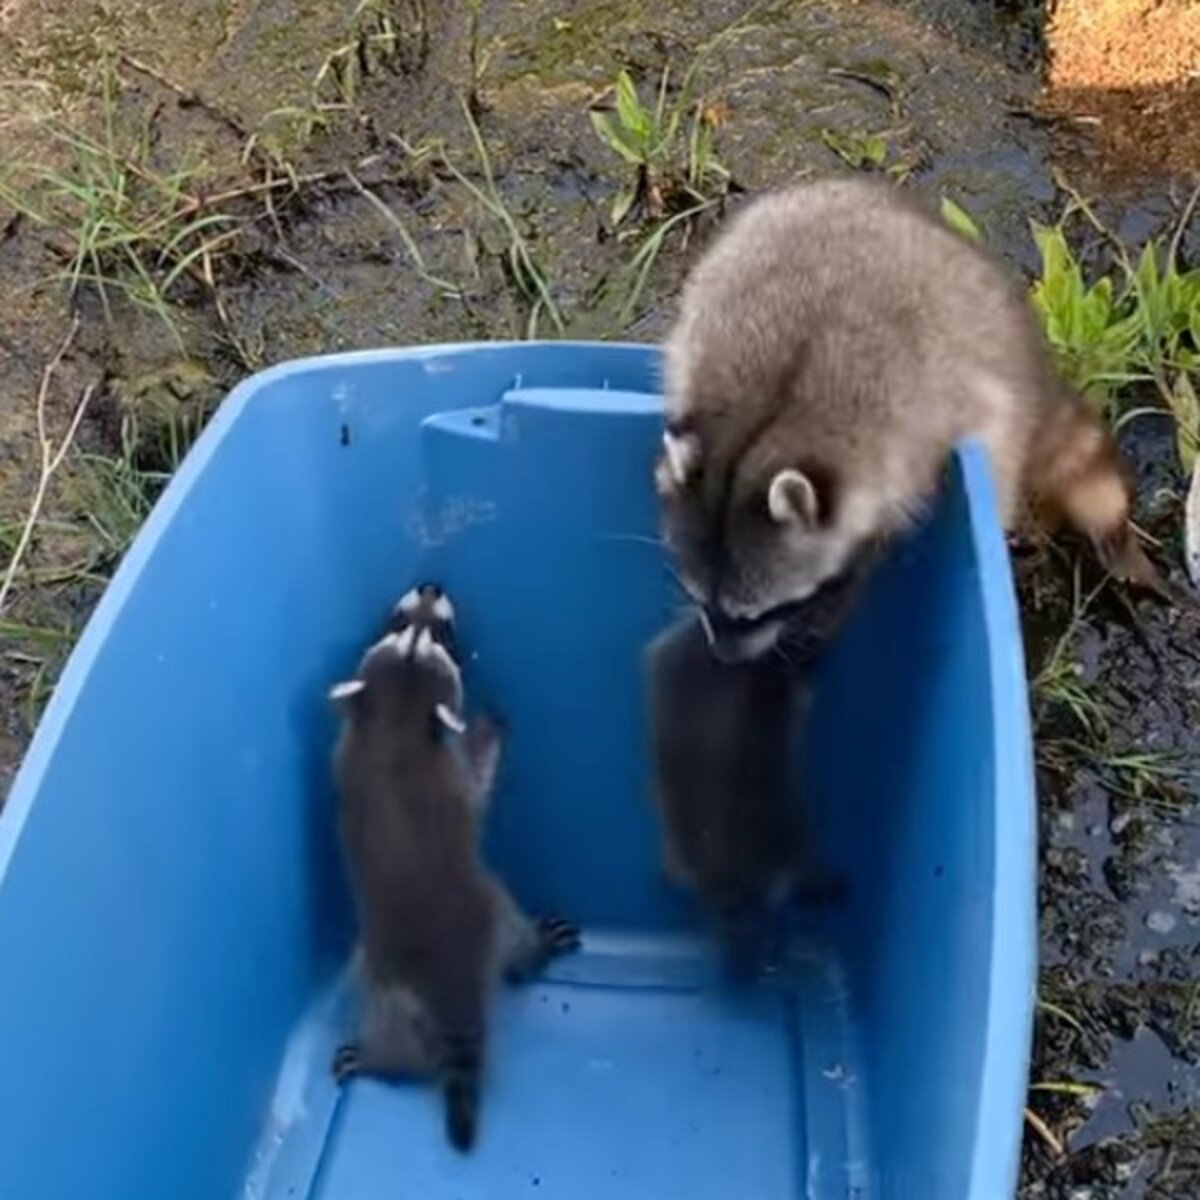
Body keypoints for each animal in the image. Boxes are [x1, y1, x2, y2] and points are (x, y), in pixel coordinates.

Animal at [329, 598, 579, 1152]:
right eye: (407, 622)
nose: (431, 585)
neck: (397, 721)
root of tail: (455, 996)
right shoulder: (447, 775)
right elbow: (478, 783)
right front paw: (488, 733)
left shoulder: (350, 749)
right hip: (443, 937)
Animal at [658, 176, 1159, 662]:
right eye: (699, 598)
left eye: (763, 612)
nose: (723, 658)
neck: (763, 428)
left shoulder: (906, 443)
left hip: (994, 379)